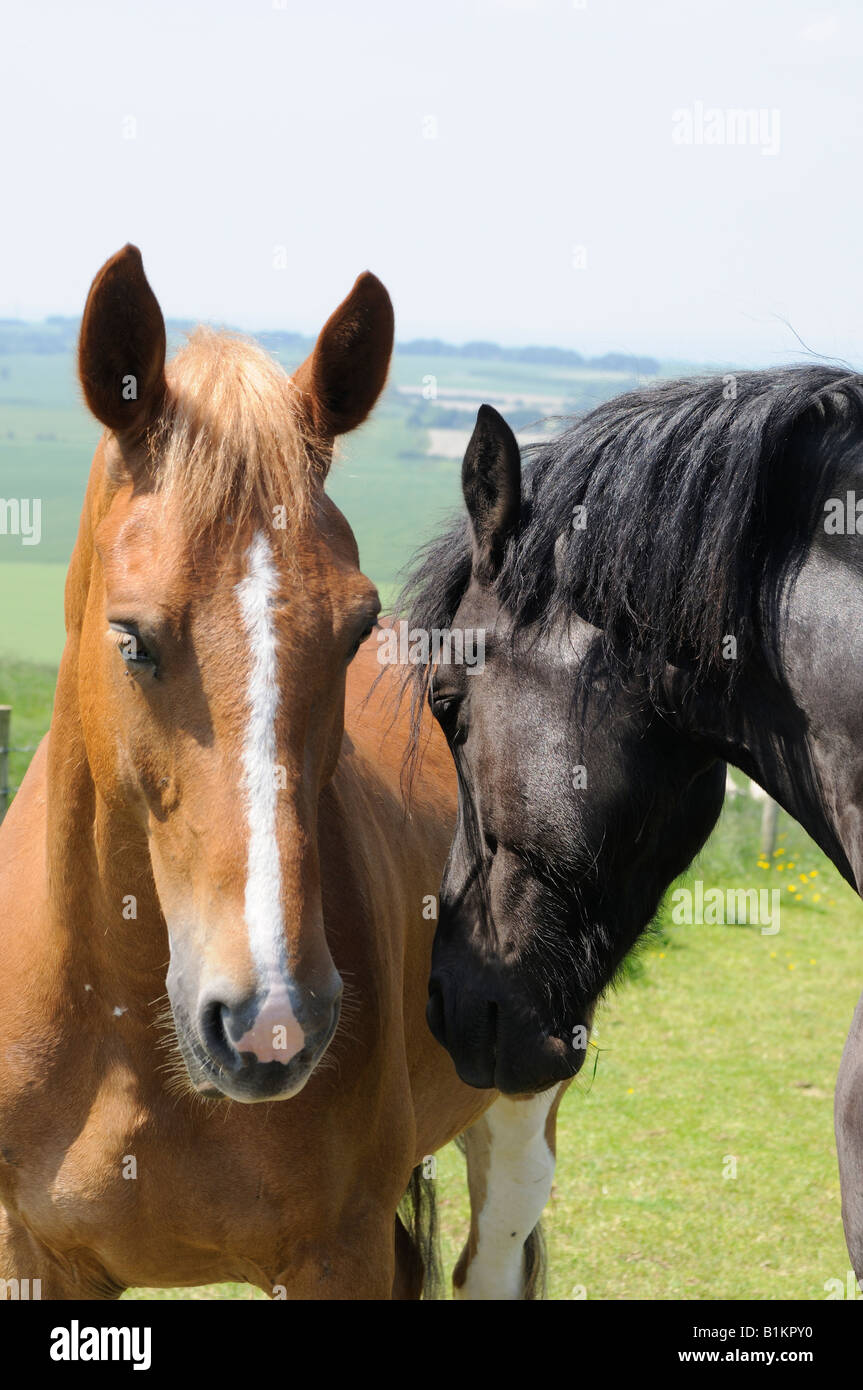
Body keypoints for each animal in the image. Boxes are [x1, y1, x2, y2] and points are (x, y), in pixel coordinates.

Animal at [0, 246, 566, 1300]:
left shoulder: (333, 1255)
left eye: (354, 628)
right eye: (132, 638)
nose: (271, 1018)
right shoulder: (35, 1255)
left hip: (518, 1119)